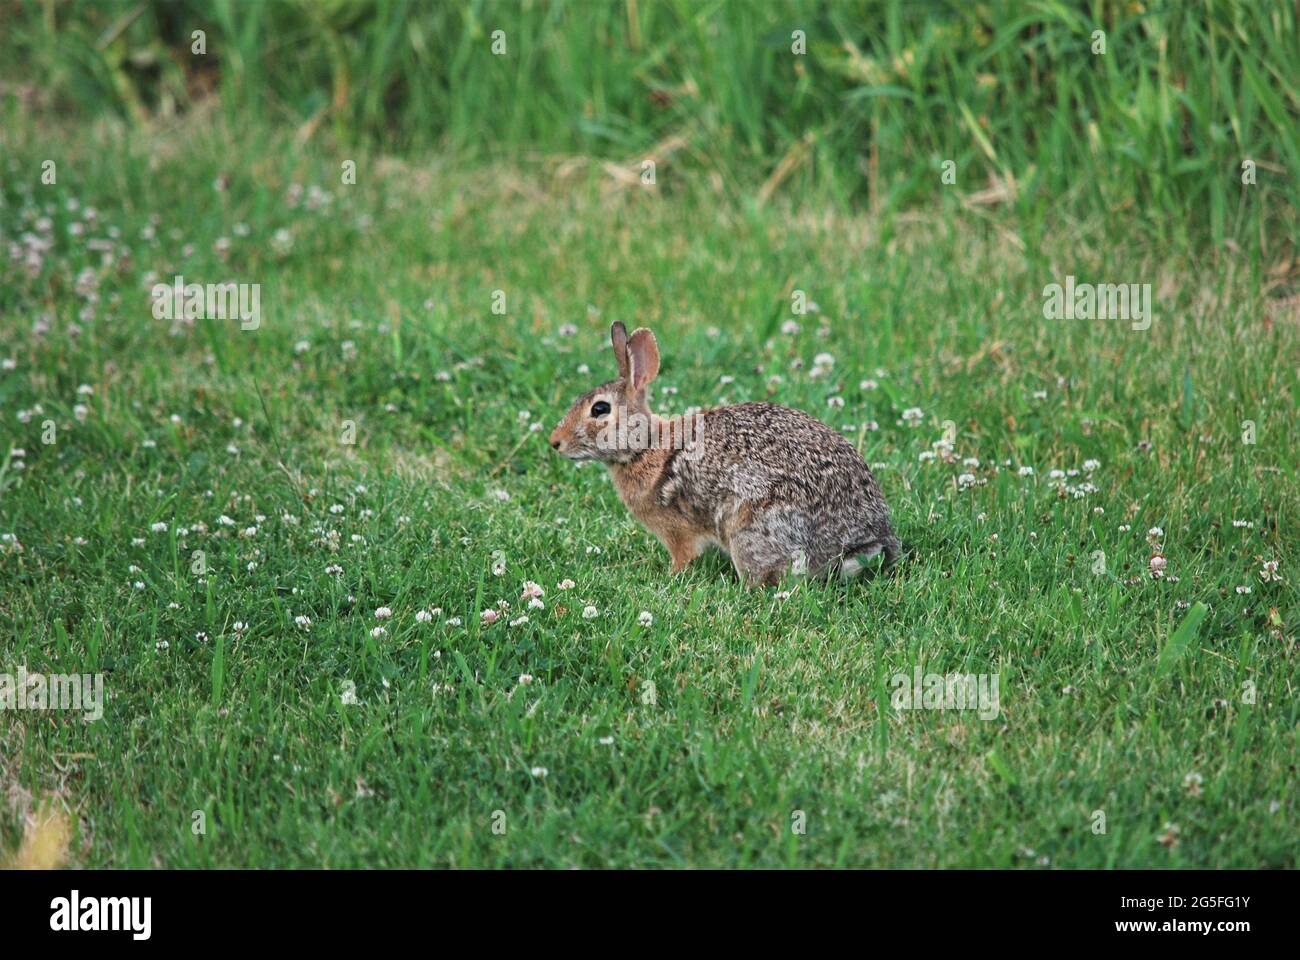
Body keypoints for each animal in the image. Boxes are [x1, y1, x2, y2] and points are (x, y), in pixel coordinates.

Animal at [549, 322, 902, 587]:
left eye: (600, 409)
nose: (555, 442)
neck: (644, 447)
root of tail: (863, 543)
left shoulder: (677, 530)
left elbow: (684, 556)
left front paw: (669, 576)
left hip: (750, 527)